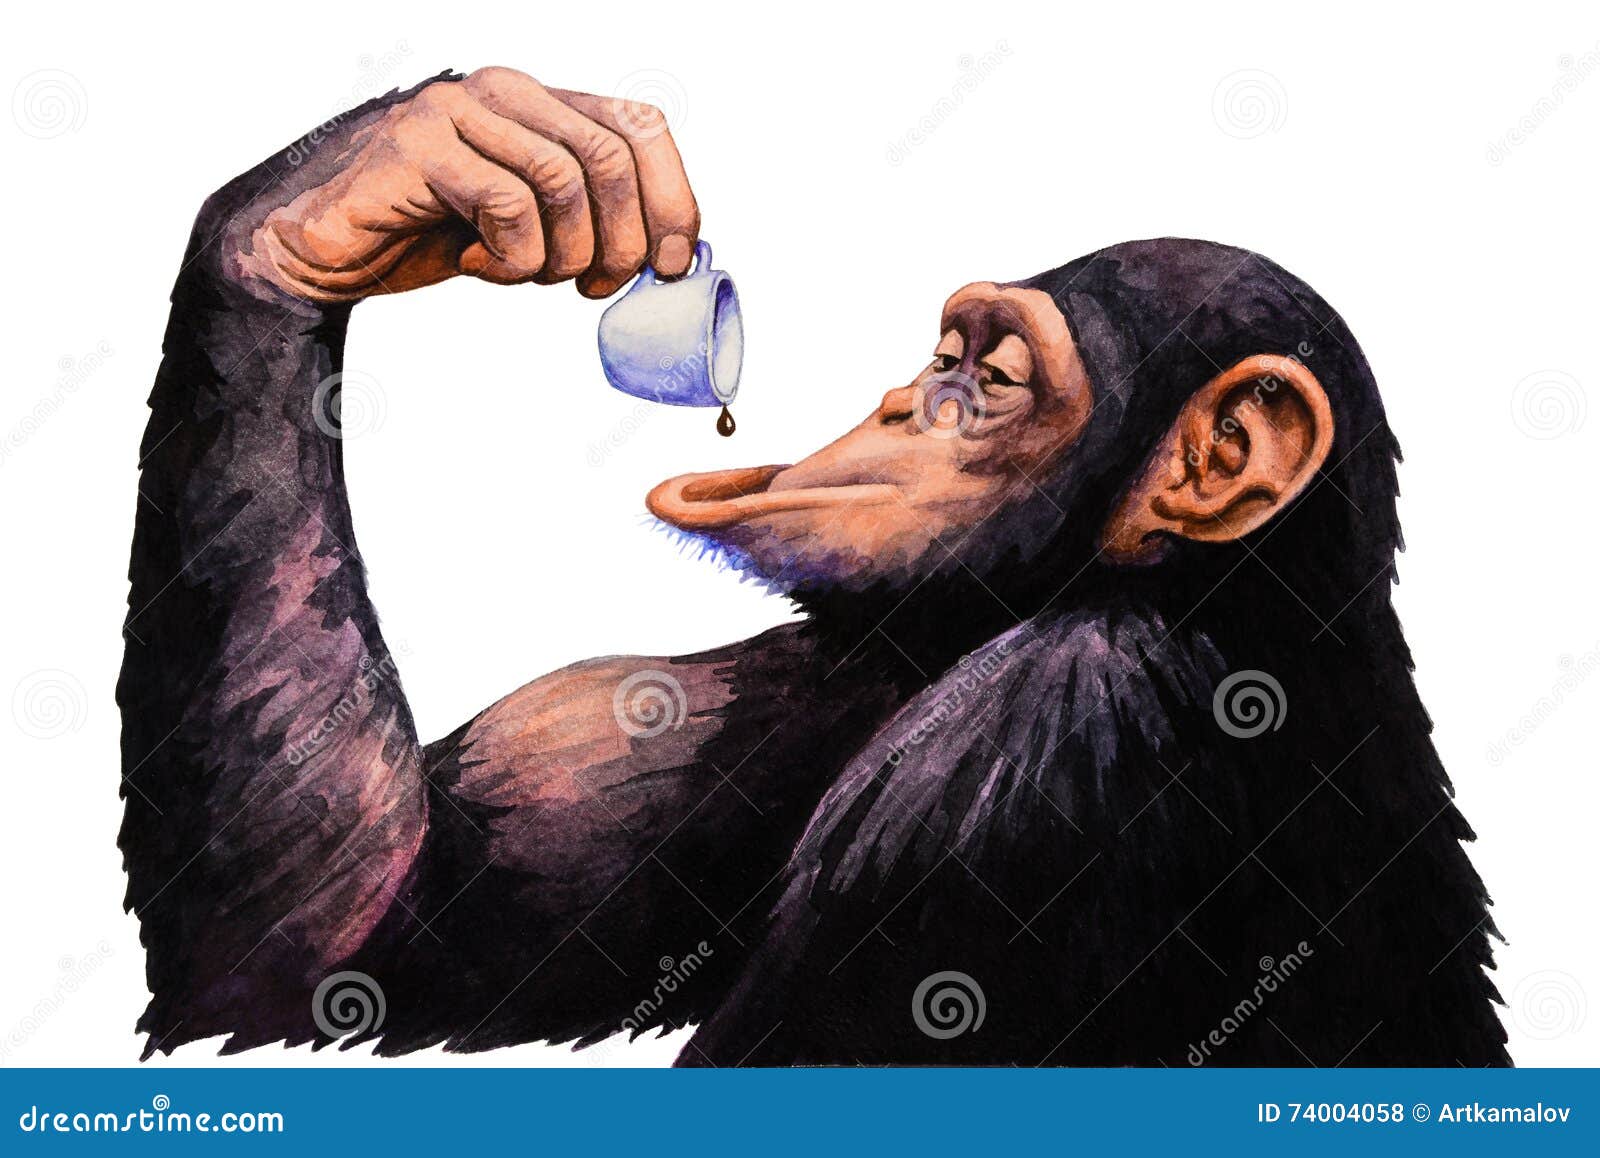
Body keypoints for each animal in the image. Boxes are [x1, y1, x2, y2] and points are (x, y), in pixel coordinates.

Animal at [118, 67, 1507, 1066]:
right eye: (944, 354)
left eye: (994, 378)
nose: (900, 400)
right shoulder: (719, 695)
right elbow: (346, 953)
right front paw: (398, 172)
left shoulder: (1048, 732)